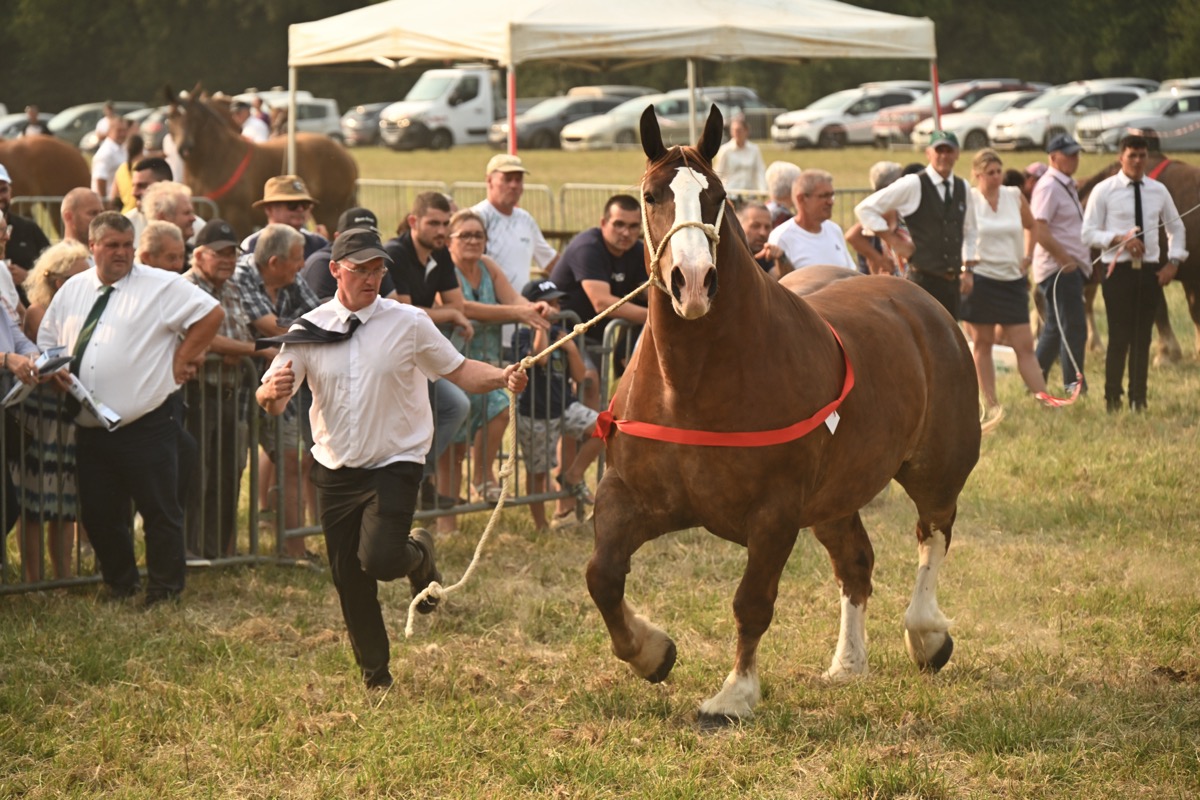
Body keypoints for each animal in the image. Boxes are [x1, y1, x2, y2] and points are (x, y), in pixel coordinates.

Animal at [165, 88, 357, 238]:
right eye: (172, 116)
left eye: (194, 116)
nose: (184, 147)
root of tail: (344, 153)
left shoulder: (239, 221)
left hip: (330, 212)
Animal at [586, 104, 981, 725]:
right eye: (651, 196)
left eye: (717, 194)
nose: (692, 281)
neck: (689, 384)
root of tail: (920, 301)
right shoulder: (628, 496)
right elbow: (602, 577)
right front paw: (652, 653)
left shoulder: (774, 513)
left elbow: (752, 602)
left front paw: (734, 694)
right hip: (835, 499)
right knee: (856, 563)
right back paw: (848, 663)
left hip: (935, 471)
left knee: (933, 534)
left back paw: (927, 636)